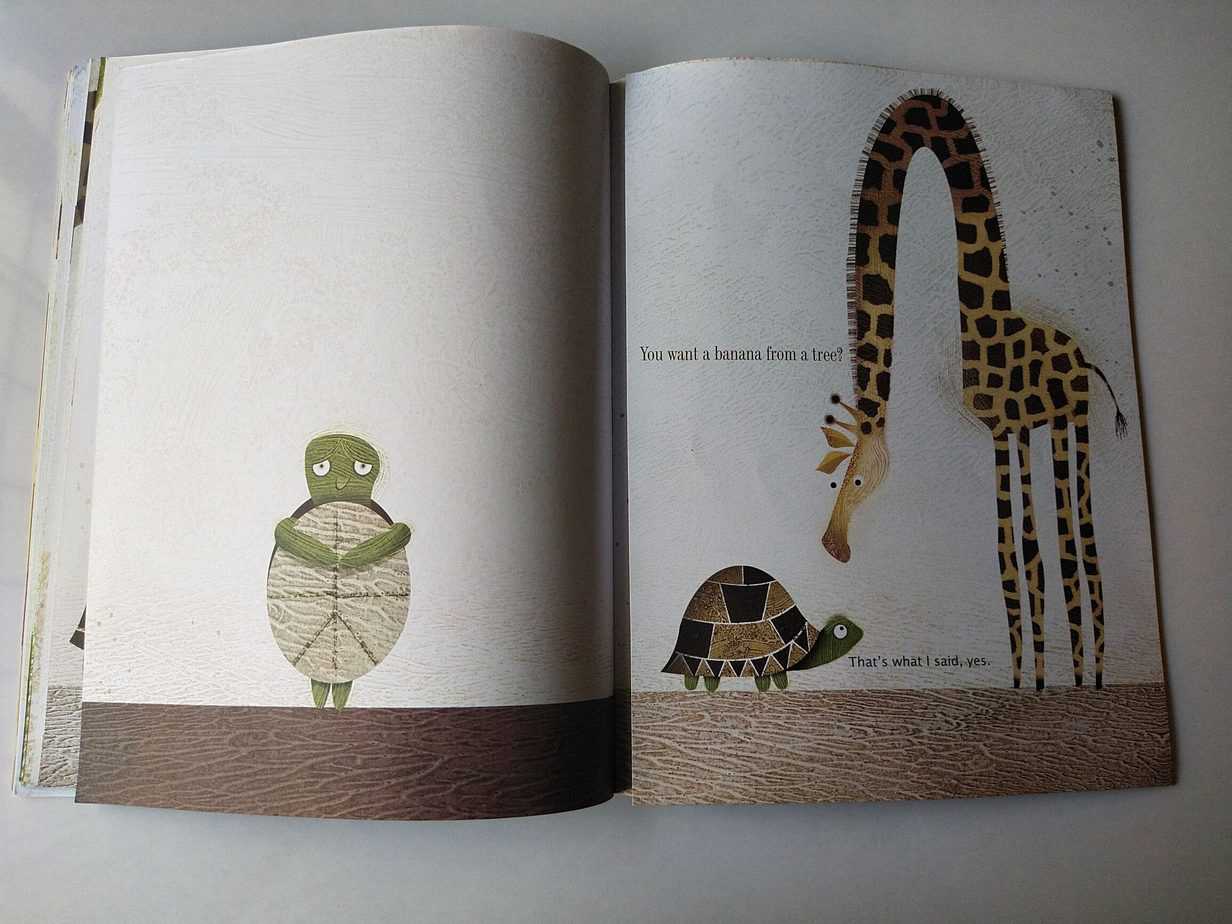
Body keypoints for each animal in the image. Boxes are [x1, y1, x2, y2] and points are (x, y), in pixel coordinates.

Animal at [815, 90, 1127, 690]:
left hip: (1070, 420)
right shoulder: (1003, 432)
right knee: (1074, 553)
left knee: (1081, 549)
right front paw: (1024, 681)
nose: (833, 548)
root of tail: (1085, 360)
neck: (989, 325)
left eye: (858, 479)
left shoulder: (1008, 427)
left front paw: (1029, 688)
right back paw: (1081, 676)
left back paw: (1090, 681)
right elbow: (1010, 557)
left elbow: (1024, 558)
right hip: (1055, 427)